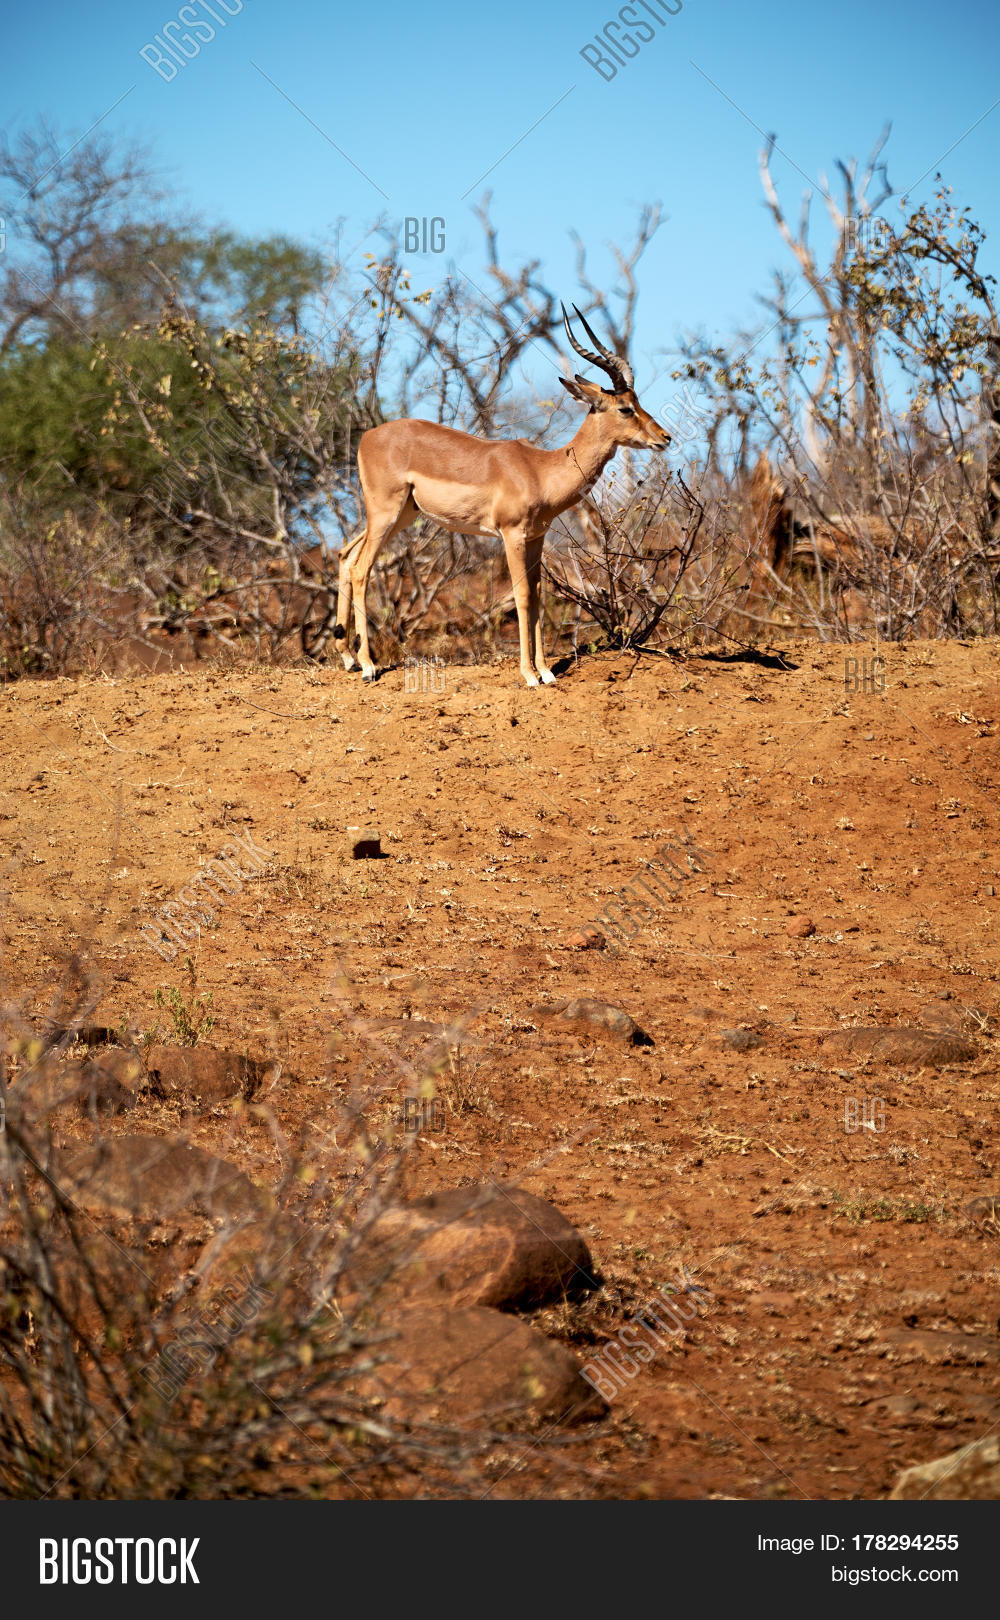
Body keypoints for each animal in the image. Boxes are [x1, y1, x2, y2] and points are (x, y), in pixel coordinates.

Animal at [335, 305, 670, 687]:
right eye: (625, 408)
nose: (665, 437)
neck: (541, 468)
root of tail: (367, 437)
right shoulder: (511, 535)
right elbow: (522, 596)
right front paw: (529, 674)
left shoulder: (536, 537)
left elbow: (539, 597)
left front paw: (546, 672)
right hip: (385, 512)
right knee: (361, 567)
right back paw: (368, 666)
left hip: (403, 514)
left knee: (346, 555)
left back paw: (347, 658)